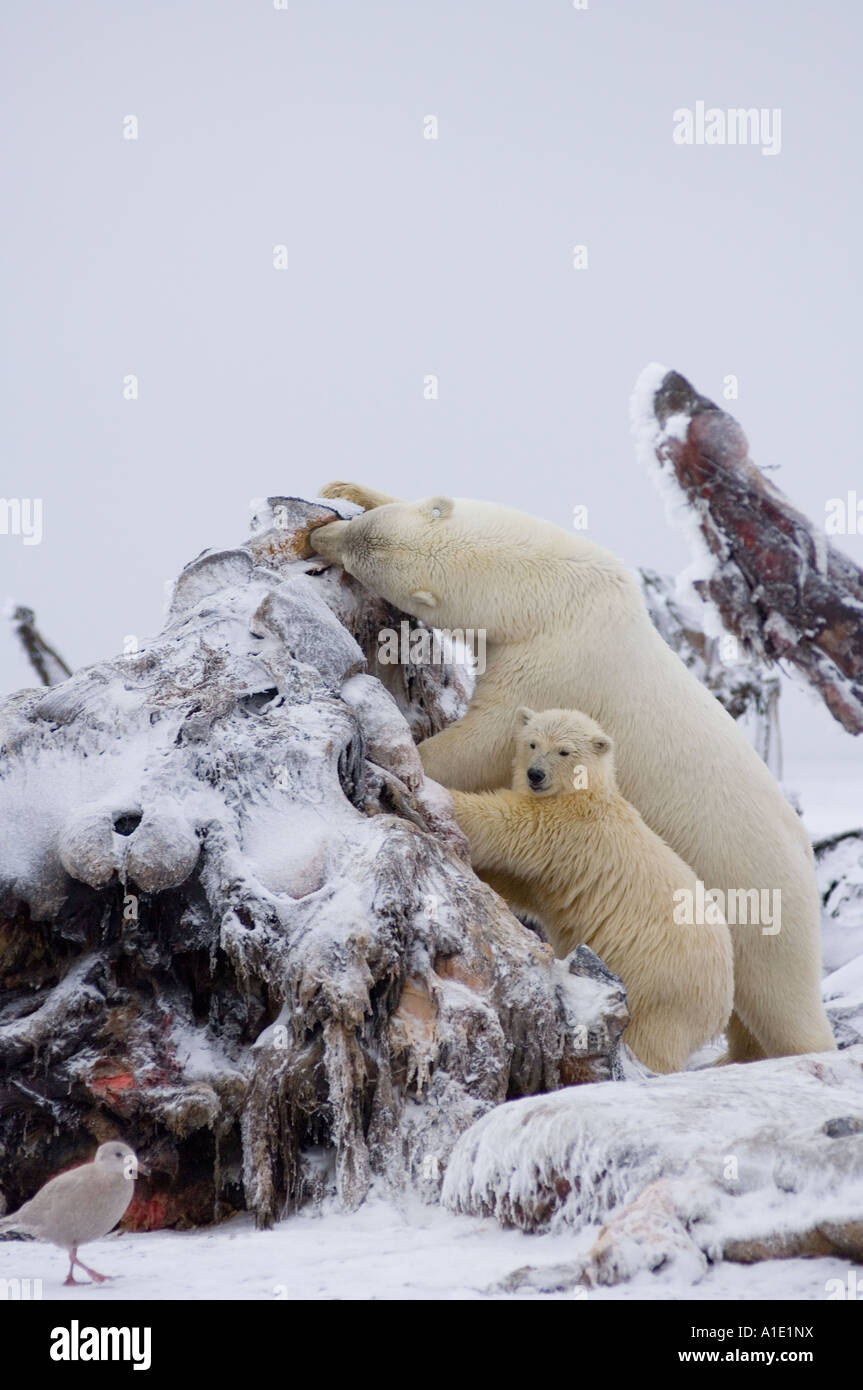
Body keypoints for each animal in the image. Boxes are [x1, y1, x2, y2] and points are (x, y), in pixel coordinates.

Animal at [448, 706, 735, 1074]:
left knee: (652, 1040)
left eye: (564, 751)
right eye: (532, 742)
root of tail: (721, 1004)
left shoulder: (567, 827)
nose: (535, 774)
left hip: (660, 985)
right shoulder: (553, 868)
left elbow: (508, 823)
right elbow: (522, 885)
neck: (586, 792)